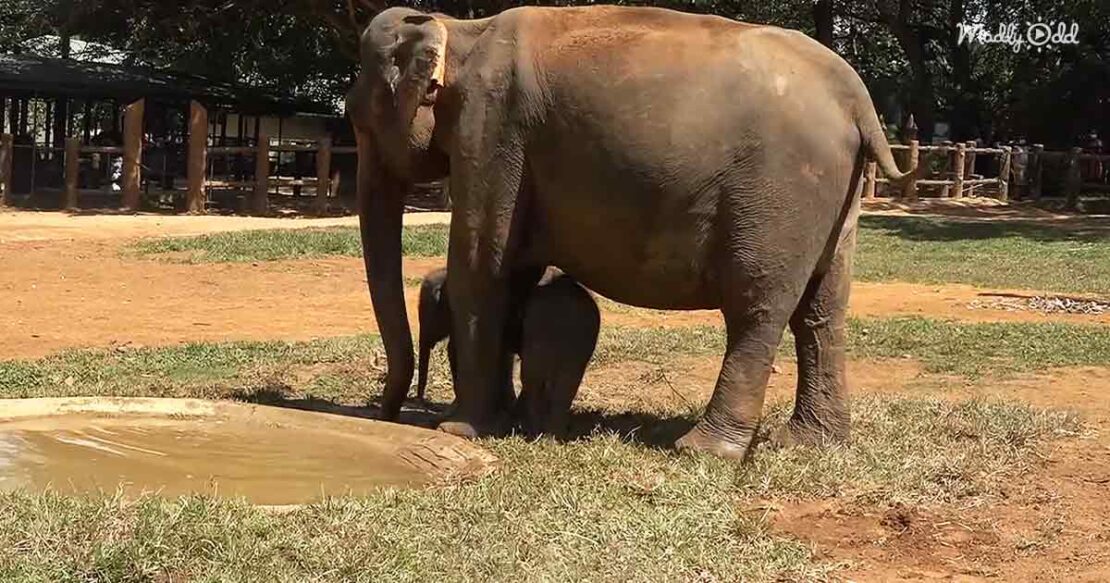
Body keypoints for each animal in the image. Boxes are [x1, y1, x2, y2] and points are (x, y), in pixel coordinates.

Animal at [346, 5, 912, 461]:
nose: (384, 415)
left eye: (357, 117)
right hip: (832, 200)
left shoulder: (490, 133)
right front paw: (496, 420)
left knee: (758, 309)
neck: (461, 30)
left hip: (781, 193)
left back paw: (703, 451)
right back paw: (808, 443)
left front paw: (459, 429)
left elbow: (481, 267)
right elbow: (516, 270)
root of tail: (857, 100)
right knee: (822, 311)